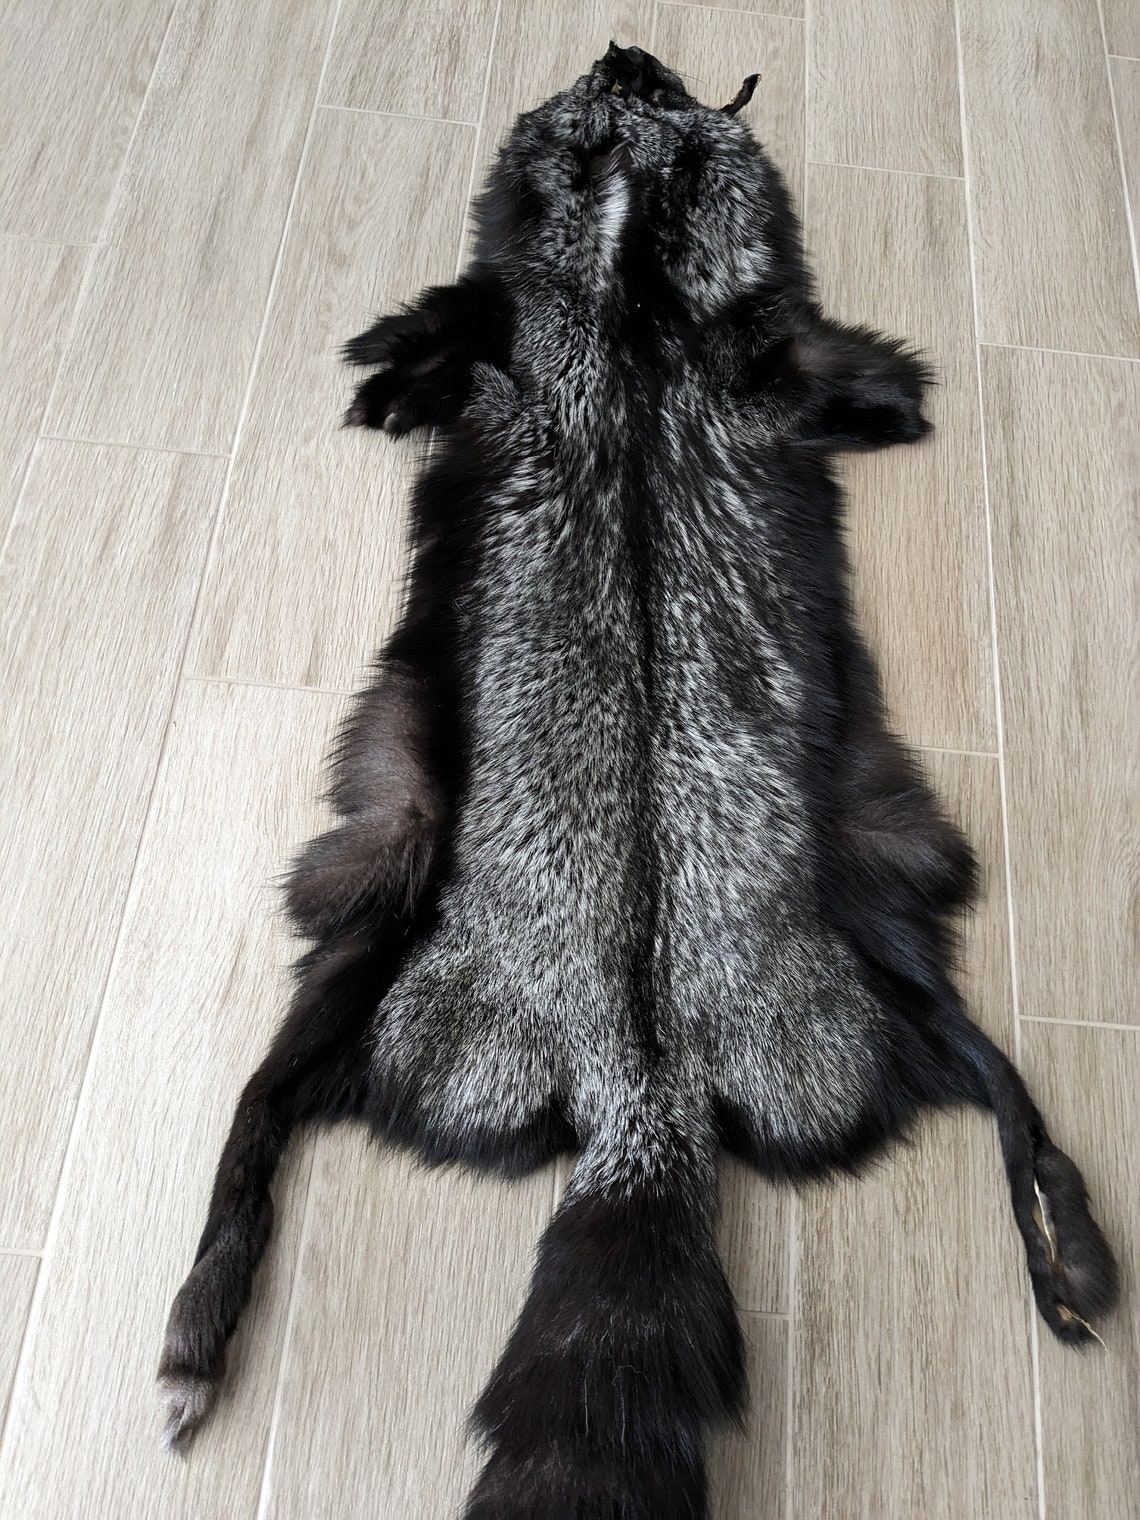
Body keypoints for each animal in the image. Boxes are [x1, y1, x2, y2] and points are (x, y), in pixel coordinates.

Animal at [160, 43, 1118, 1519]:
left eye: (635, 97)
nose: (625, 49)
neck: (633, 299)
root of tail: (645, 1075)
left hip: (388, 922)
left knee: (254, 1131)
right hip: (857, 942)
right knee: (1012, 1106)